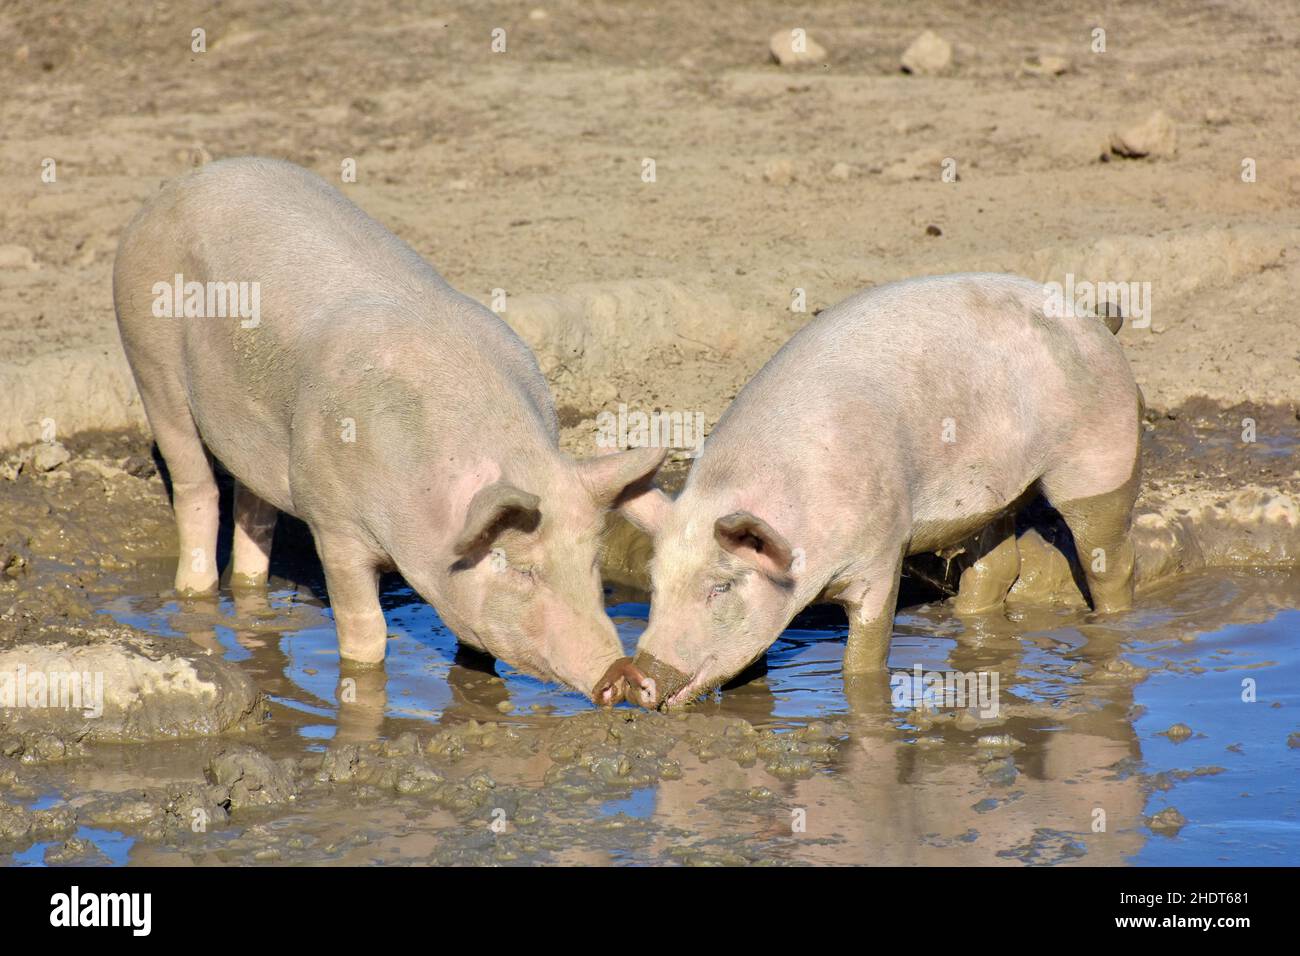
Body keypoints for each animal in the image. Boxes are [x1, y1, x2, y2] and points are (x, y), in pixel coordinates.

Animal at [113, 157, 664, 704]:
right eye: (523, 569)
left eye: (592, 562)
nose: (619, 670)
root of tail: (185, 183)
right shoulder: (333, 522)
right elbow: (366, 631)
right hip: (149, 358)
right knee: (196, 485)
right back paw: (195, 591)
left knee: (254, 504)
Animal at [622, 273, 1141, 707]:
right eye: (654, 582)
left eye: (720, 587)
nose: (638, 678)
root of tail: (1093, 319)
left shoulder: (882, 546)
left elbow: (866, 648)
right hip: (994, 493)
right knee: (997, 564)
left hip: (1102, 453)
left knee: (1110, 559)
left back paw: (1110, 626)